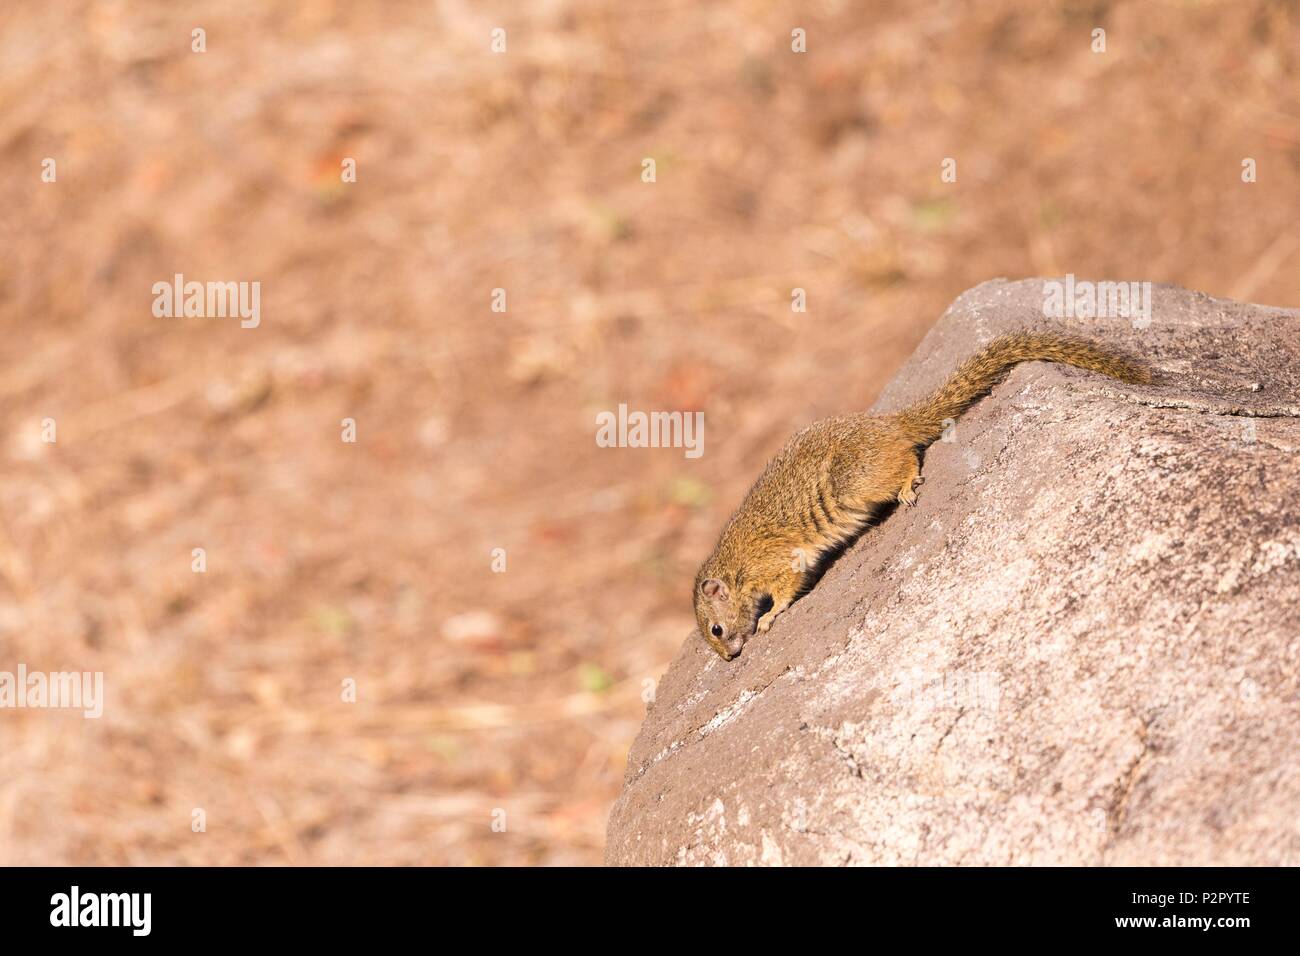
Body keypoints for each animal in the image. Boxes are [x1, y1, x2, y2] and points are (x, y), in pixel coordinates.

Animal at [694, 332, 1151, 661]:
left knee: (910, 456)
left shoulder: (778, 565)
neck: (733, 565)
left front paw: (769, 617)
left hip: (853, 483)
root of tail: (889, 423)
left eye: (716, 630)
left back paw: (908, 486)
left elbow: (787, 590)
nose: (729, 659)